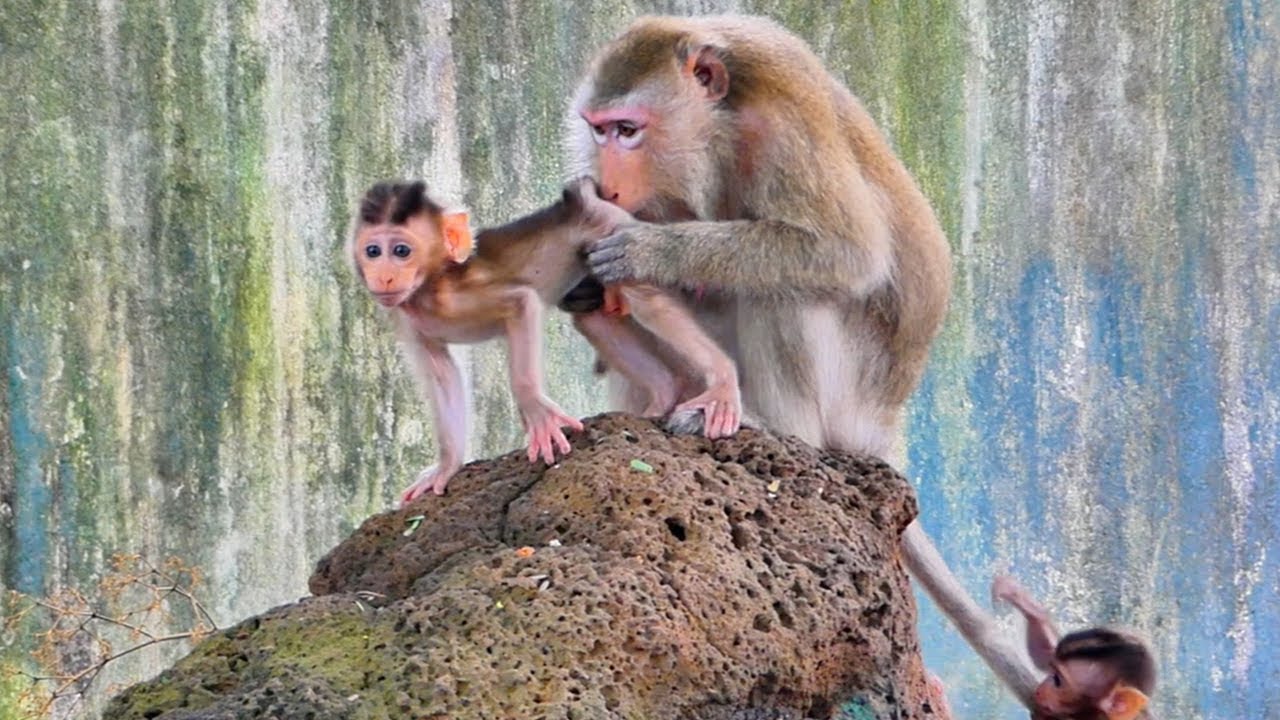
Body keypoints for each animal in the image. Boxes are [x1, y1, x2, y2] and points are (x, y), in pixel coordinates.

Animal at [350, 178, 742, 503]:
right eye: (373, 252)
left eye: (401, 251)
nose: (384, 277)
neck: (431, 287)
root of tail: (579, 199)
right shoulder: (406, 318)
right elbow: (441, 374)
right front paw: (446, 467)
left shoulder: (466, 295)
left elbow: (523, 304)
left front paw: (537, 412)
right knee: (594, 317)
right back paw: (662, 395)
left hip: (613, 232)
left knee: (644, 298)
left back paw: (722, 378)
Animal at [561, 13, 1044, 706]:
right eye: (599, 129)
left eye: (629, 130)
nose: (606, 179)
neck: (721, 125)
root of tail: (881, 424)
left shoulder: (784, 131)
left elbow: (846, 252)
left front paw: (648, 249)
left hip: (853, 386)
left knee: (791, 288)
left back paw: (778, 431)